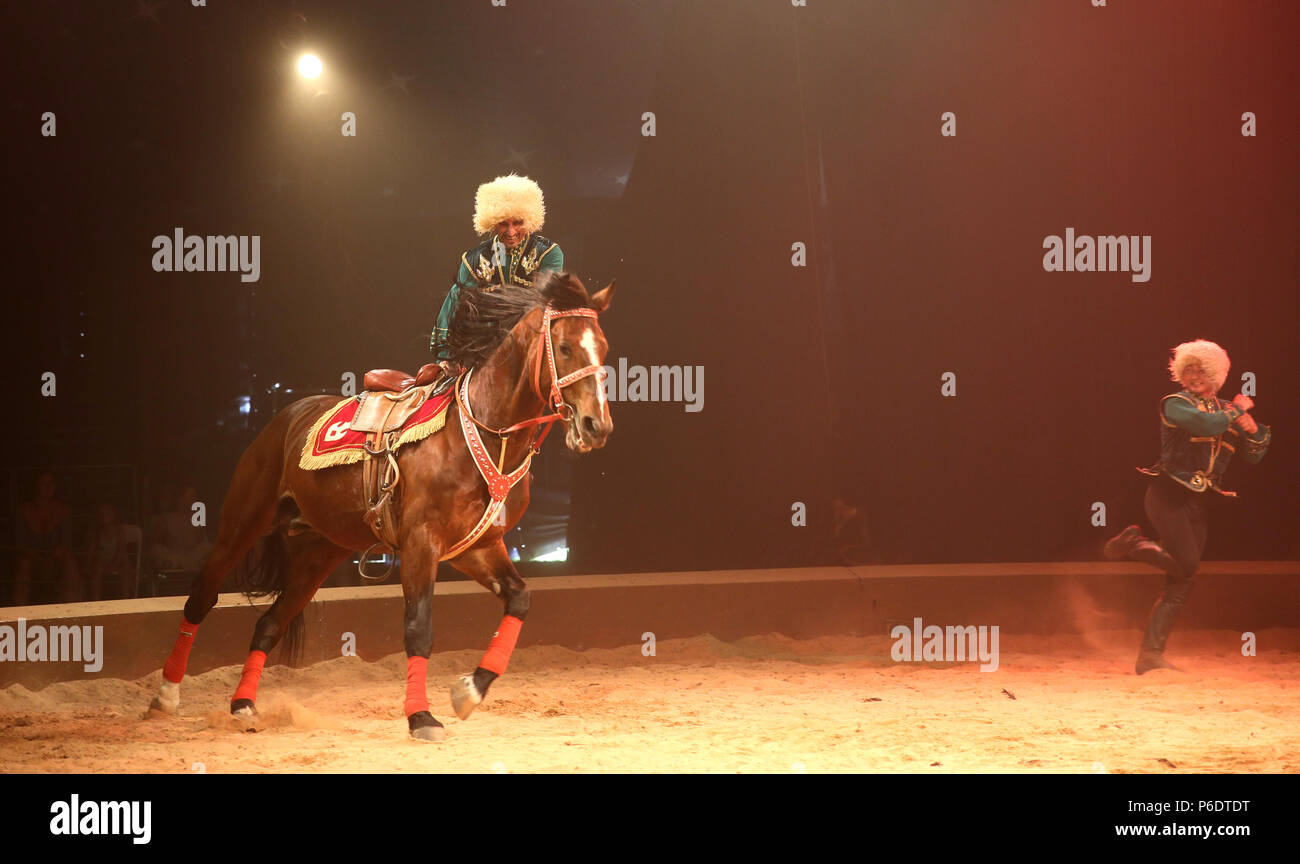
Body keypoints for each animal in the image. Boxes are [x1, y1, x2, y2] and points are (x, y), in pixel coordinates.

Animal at [148, 271, 614, 740]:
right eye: (566, 347)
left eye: (604, 348)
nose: (597, 425)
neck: (482, 431)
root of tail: (288, 416)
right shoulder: (421, 543)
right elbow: (419, 628)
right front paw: (421, 716)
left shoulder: (476, 547)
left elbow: (519, 598)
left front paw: (469, 691)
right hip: (243, 523)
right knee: (201, 598)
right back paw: (166, 696)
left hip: (319, 552)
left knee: (269, 624)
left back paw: (243, 703)